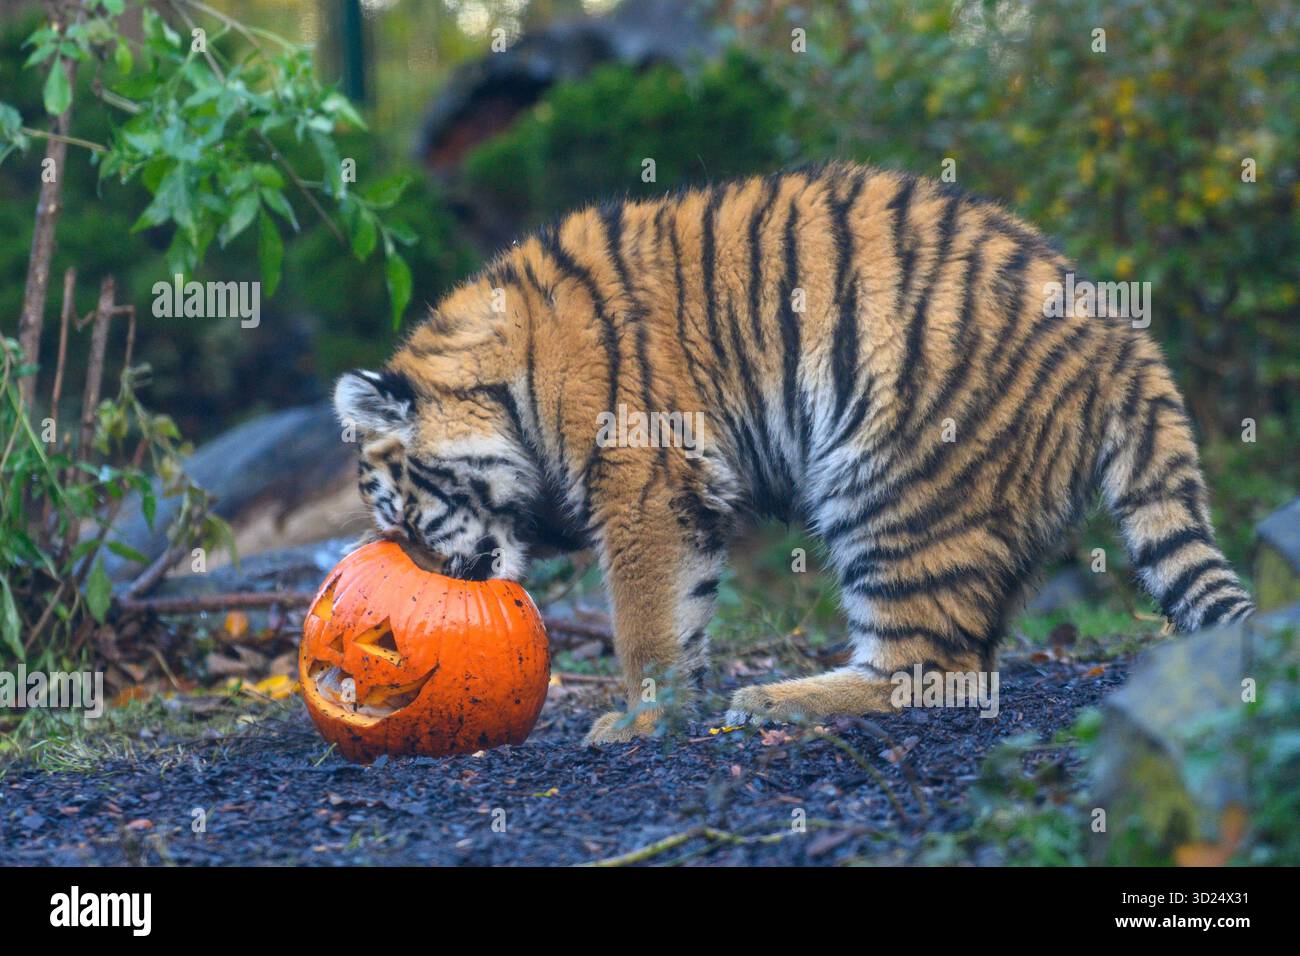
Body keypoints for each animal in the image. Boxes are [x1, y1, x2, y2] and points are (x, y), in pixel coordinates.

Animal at [333, 161, 1253, 744]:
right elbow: (685, 614)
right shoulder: (685, 499)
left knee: (925, 663)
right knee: (965, 664)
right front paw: (665, 712)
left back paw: (771, 701)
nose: (437, 586)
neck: (509, 374)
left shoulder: (641, 486)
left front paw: (635, 721)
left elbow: (642, 623)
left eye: (403, 516)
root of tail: (1120, 334)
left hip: (895, 486)